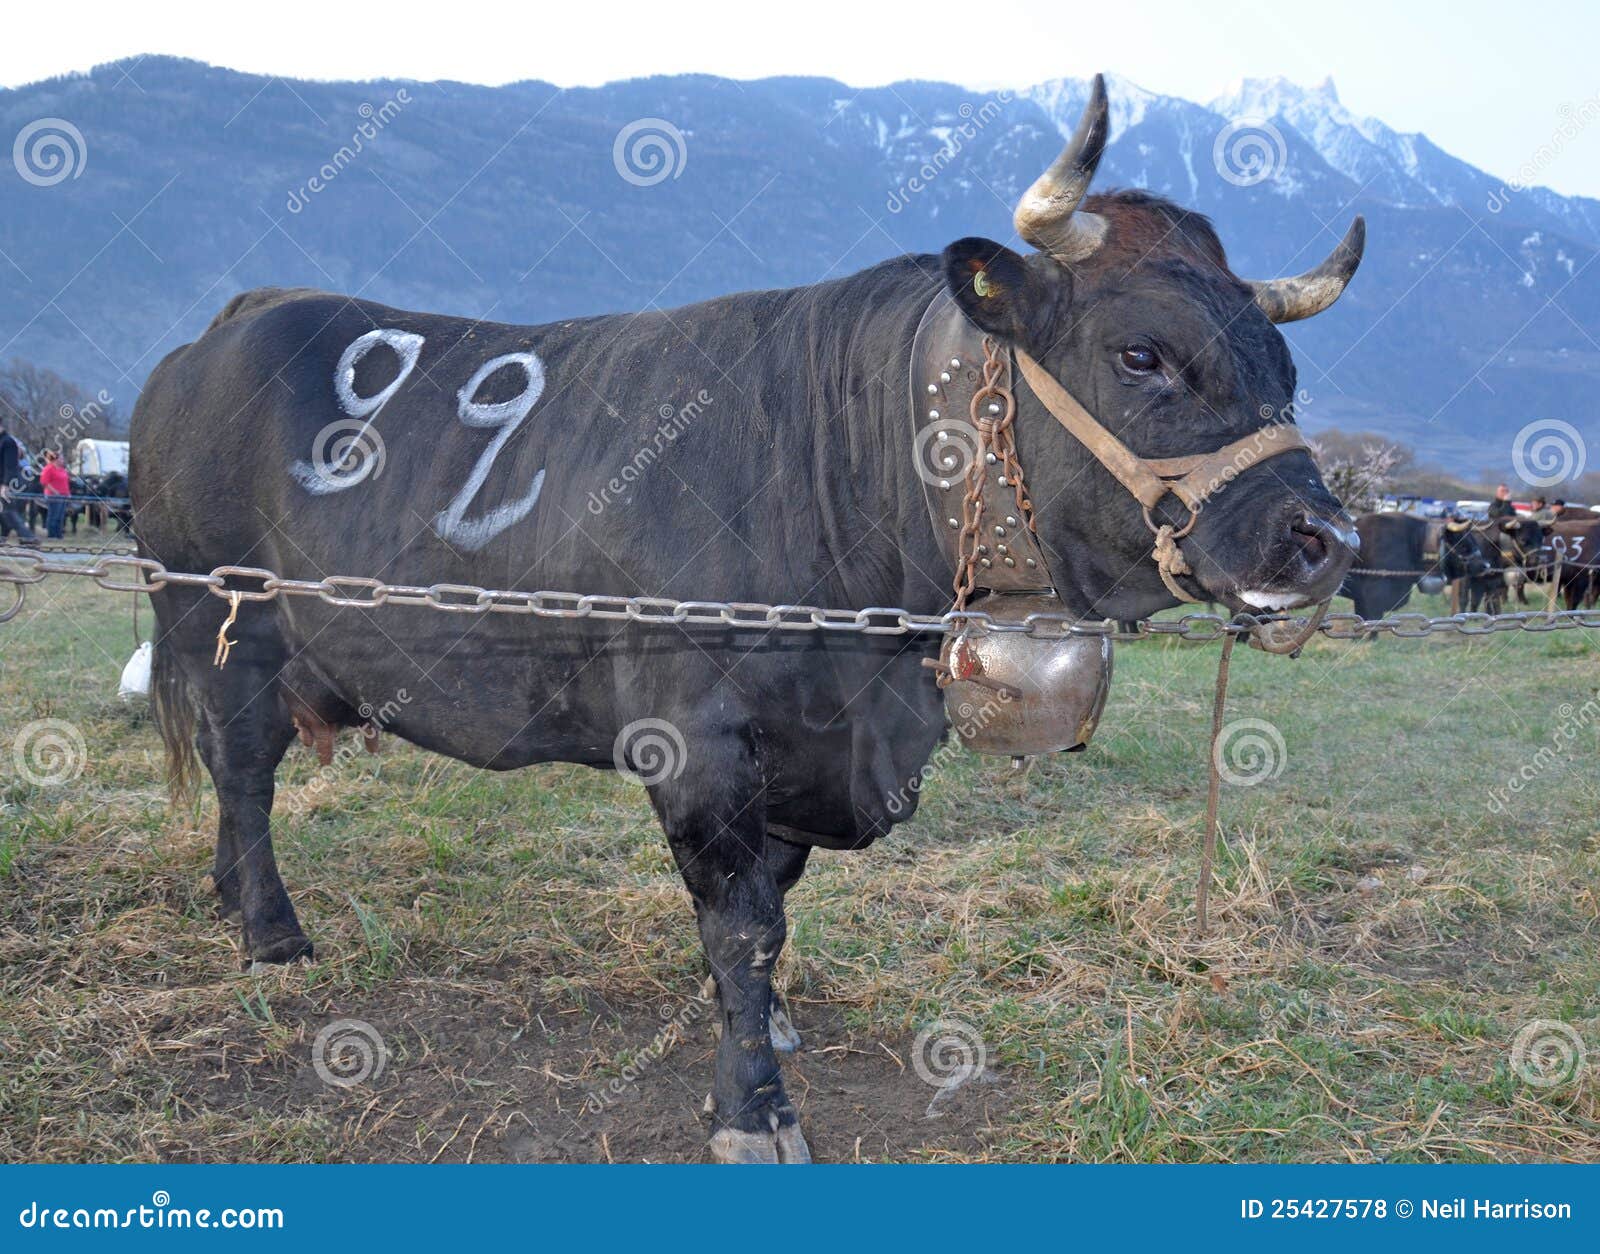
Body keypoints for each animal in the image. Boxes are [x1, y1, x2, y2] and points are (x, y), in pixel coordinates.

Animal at [130, 76, 1360, 1163]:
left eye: (1284, 365)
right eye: (1141, 353)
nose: (1328, 536)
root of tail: (240, 317)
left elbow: (779, 898)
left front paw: (765, 1024)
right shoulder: (699, 737)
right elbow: (743, 921)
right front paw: (753, 1109)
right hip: (217, 624)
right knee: (244, 772)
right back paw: (271, 932)